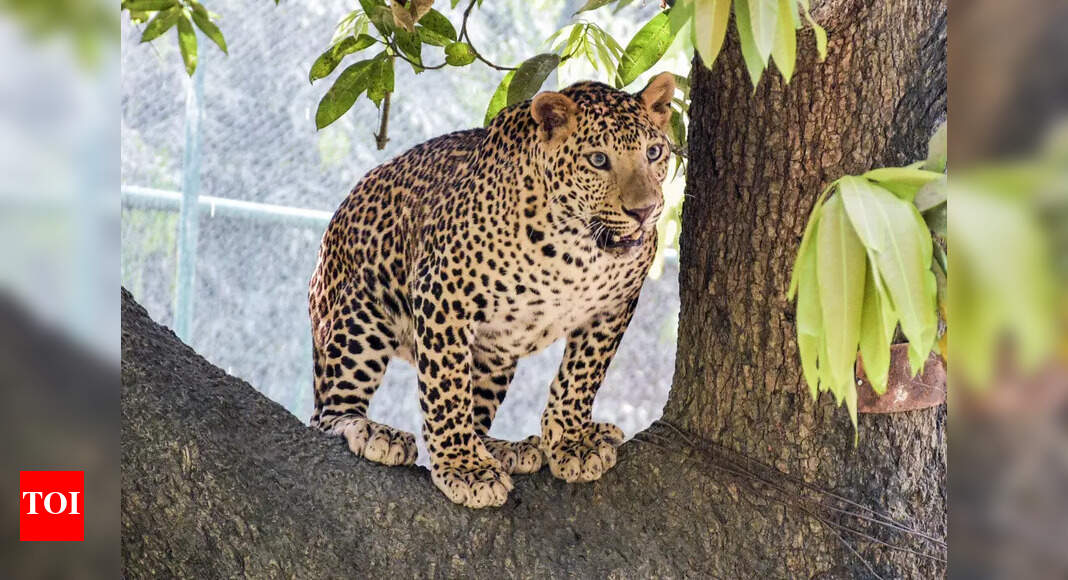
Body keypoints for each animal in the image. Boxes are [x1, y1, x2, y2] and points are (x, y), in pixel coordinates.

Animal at [308, 72, 676, 508]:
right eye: (598, 160)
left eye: (654, 152)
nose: (645, 211)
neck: (580, 252)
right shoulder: (443, 295)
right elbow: (447, 390)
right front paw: (463, 467)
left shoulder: (614, 306)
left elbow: (582, 375)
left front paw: (572, 440)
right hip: (358, 318)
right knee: (327, 414)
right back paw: (374, 431)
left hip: (494, 354)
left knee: (478, 413)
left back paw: (504, 448)